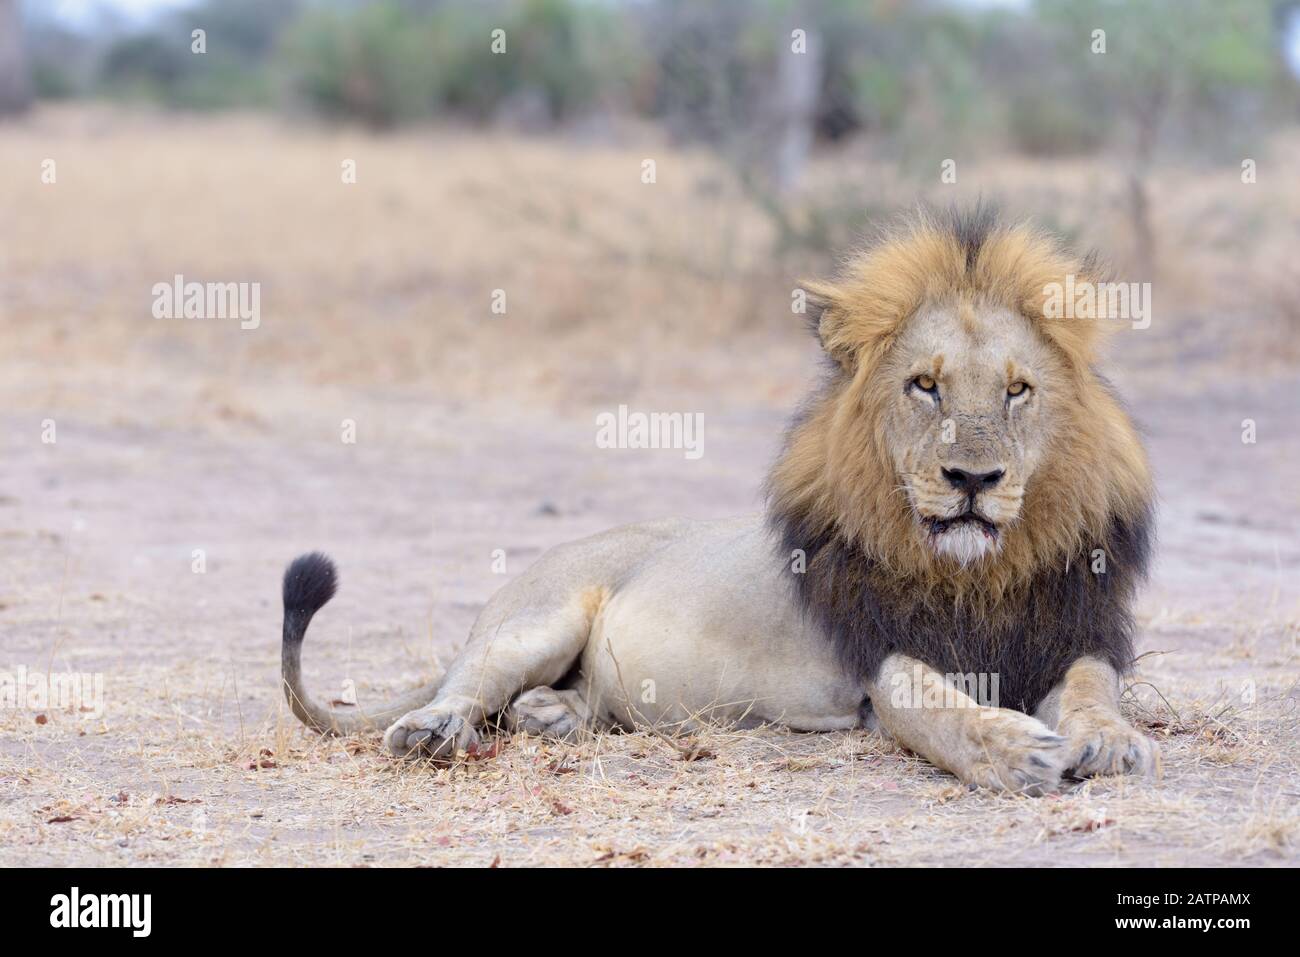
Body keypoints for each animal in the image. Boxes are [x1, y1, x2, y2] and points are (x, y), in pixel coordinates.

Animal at [280, 205, 1159, 794]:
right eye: (924, 385)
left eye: (1017, 390)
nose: (973, 480)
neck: (977, 576)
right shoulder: (876, 659)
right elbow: (939, 708)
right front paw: (1021, 751)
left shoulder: (1075, 630)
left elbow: (1094, 689)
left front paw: (1112, 741)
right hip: (536, 617)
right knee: (464, 686)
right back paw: (433, 728)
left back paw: (550, 714)